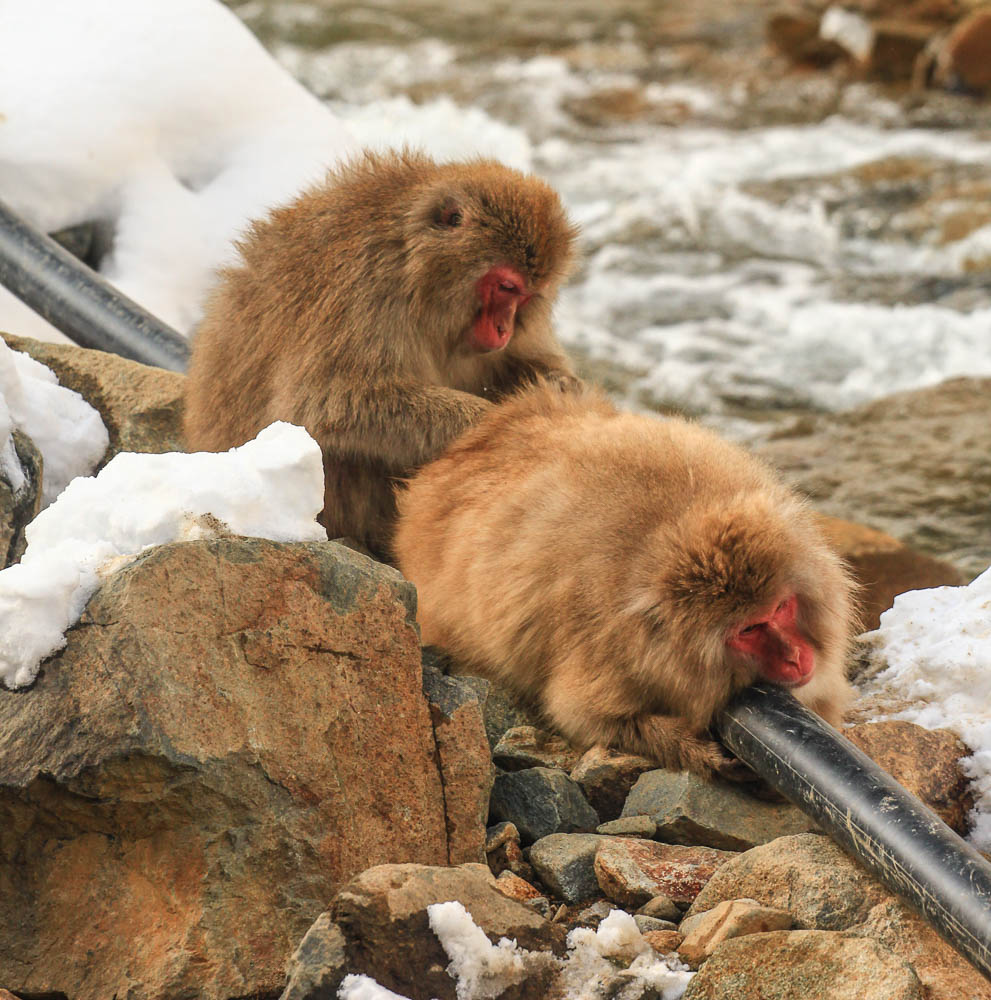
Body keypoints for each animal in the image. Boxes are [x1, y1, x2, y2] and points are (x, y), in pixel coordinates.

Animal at [183, 149, 579, 556]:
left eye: (527, 296)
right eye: (505, 286)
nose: (504, 329)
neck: (417, 276)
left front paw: (561, 386)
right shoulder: (366, 285)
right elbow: (325, 403)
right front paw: (496, 420)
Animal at [393, 384, 857, 780]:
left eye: (781, 608)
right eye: (750, 629)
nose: (795, 658)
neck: (672, 531)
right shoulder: (613, 650)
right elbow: (583, 715)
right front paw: (698, 749)